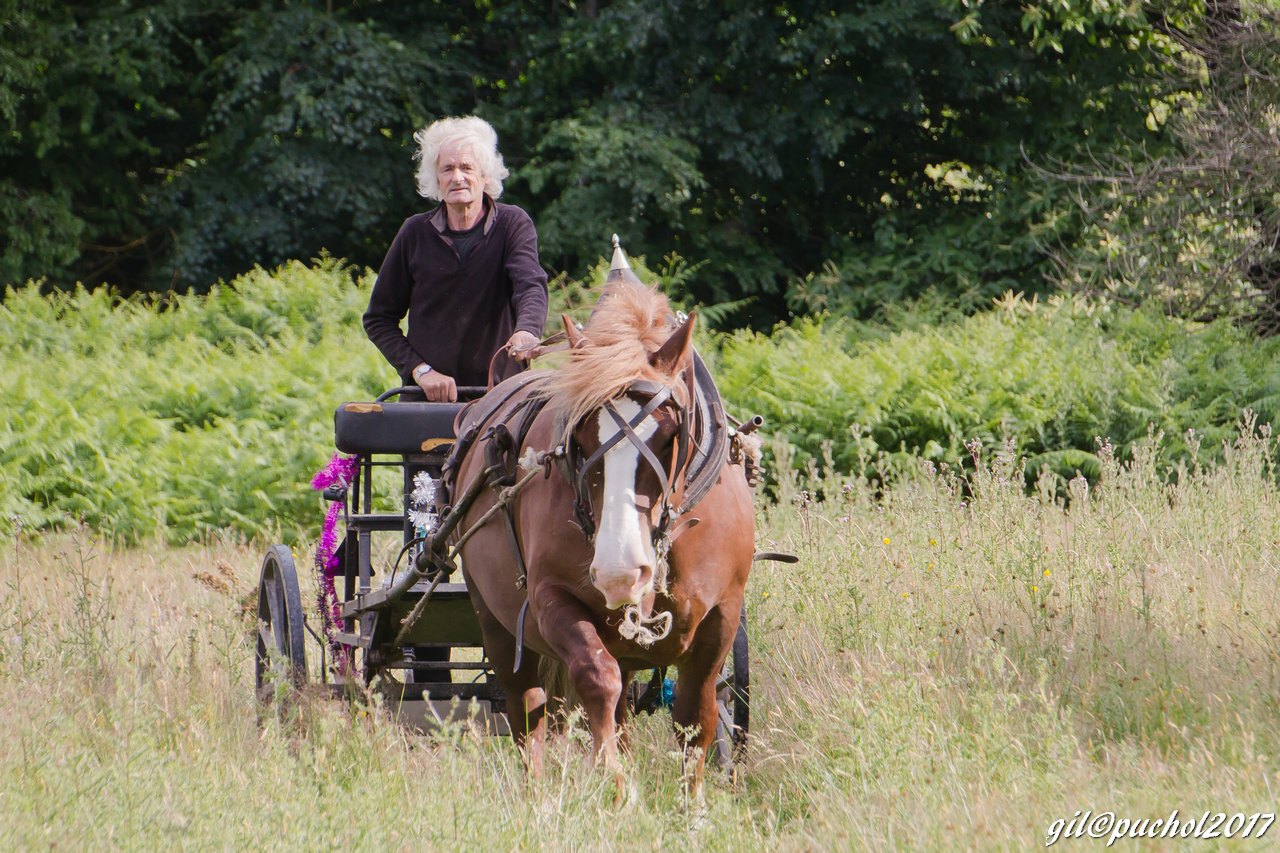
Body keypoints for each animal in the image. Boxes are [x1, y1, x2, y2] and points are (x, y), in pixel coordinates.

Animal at [447, 257, 755, 797]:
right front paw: (612, 781)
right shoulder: (550, 597)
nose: (619, 572)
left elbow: (695, 715)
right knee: (527, 707)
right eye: (581, 436)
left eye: (670, 433)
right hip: (494, 618)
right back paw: (538, 795)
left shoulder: (722, 613)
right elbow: (597, 679)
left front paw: (692, 804)